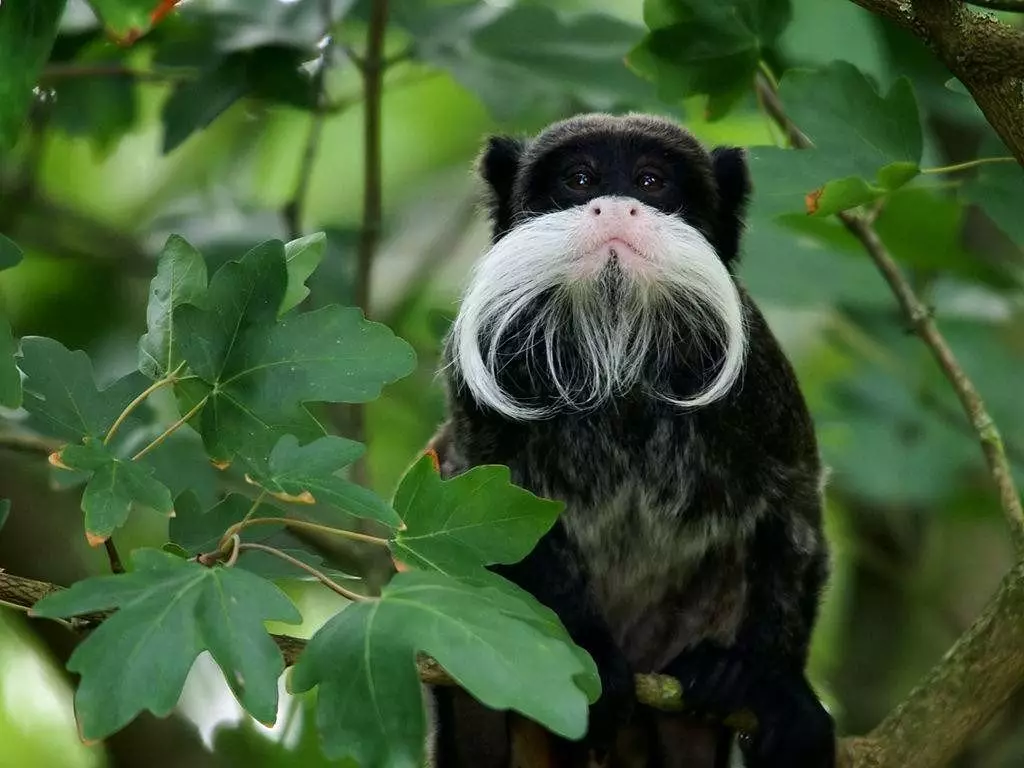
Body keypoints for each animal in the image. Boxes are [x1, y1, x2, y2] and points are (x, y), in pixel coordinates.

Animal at [421, 114, 831, 768]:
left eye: (650, 181)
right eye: (580, 179)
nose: (615, 206)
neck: (618, 340)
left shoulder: (763, 383)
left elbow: (794, 511)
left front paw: (772, 681)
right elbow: (490, 500)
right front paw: (588, 657)